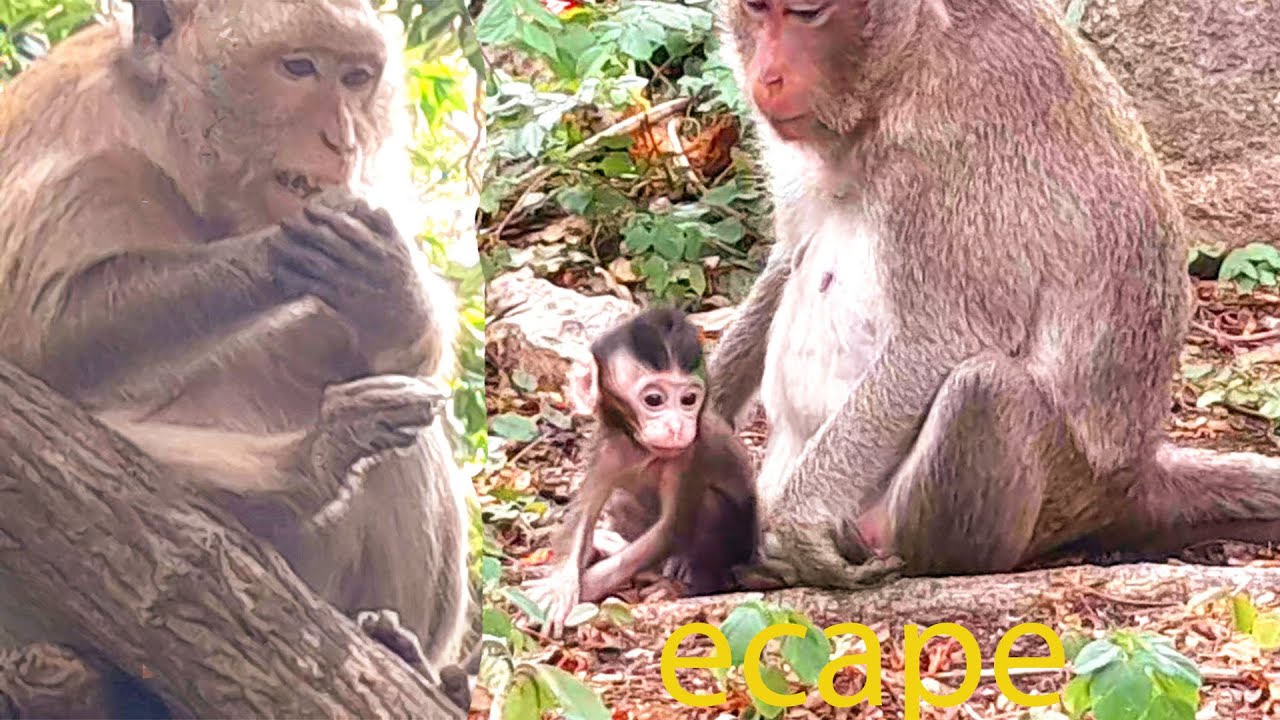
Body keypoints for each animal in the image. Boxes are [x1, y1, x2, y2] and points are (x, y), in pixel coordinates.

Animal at [0, 0, 477, 715]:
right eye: (299, 68)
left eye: (356, 78)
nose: (343, 140)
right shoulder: (78, 154)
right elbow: (42, 340)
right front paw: (276, 254)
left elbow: (386, 350)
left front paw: (389, 291)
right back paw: (303, 469)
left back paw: (406, 654)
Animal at [526, 308, 758, 635]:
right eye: (654, 400)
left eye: (688, 400)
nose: (677, 426)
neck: (643, 449)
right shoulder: (607, 447)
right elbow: (583, 516)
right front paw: (560, 587)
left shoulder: (687, 457)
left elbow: (669, 529)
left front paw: (586, 586)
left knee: (710, 504)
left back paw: (683, 584)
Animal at [705, 0, 1280, 589]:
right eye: (758, 12)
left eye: (807, 14)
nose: (766, 78)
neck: (897, 75)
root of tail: (1134, 475)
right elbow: (787, 258)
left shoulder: (953, 141)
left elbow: (943, 336)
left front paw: (800, 521)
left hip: (1056, 493)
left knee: (988, 386)